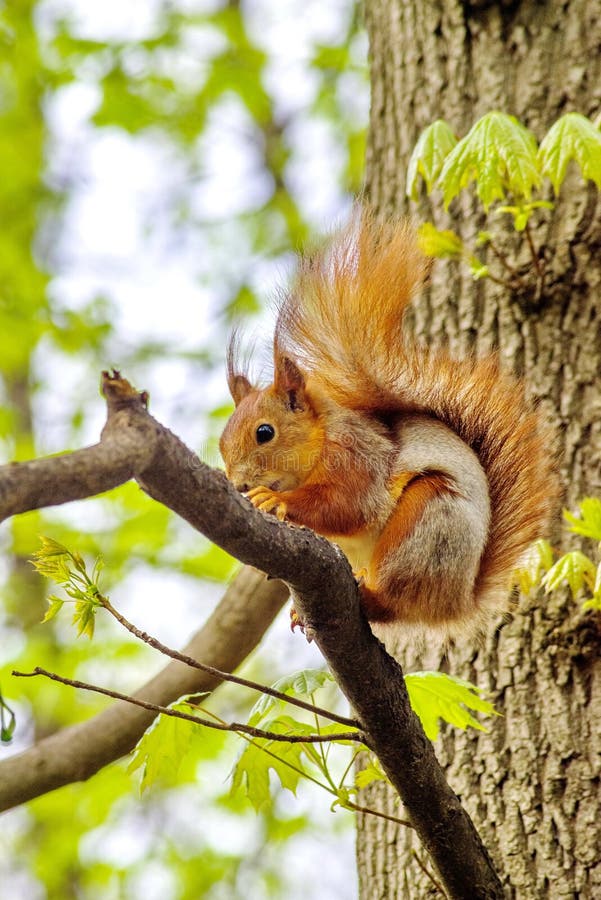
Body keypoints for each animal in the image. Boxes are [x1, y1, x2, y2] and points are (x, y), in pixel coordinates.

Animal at [219, 213, 556, 634]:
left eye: (264, 433)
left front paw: (276, 500)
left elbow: (347, 505)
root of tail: (459, 601)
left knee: (397, 601)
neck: (319, 441)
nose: (238, 484)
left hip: (426, 524)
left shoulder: (358, 454)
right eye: (222, 442)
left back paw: (371, 596)